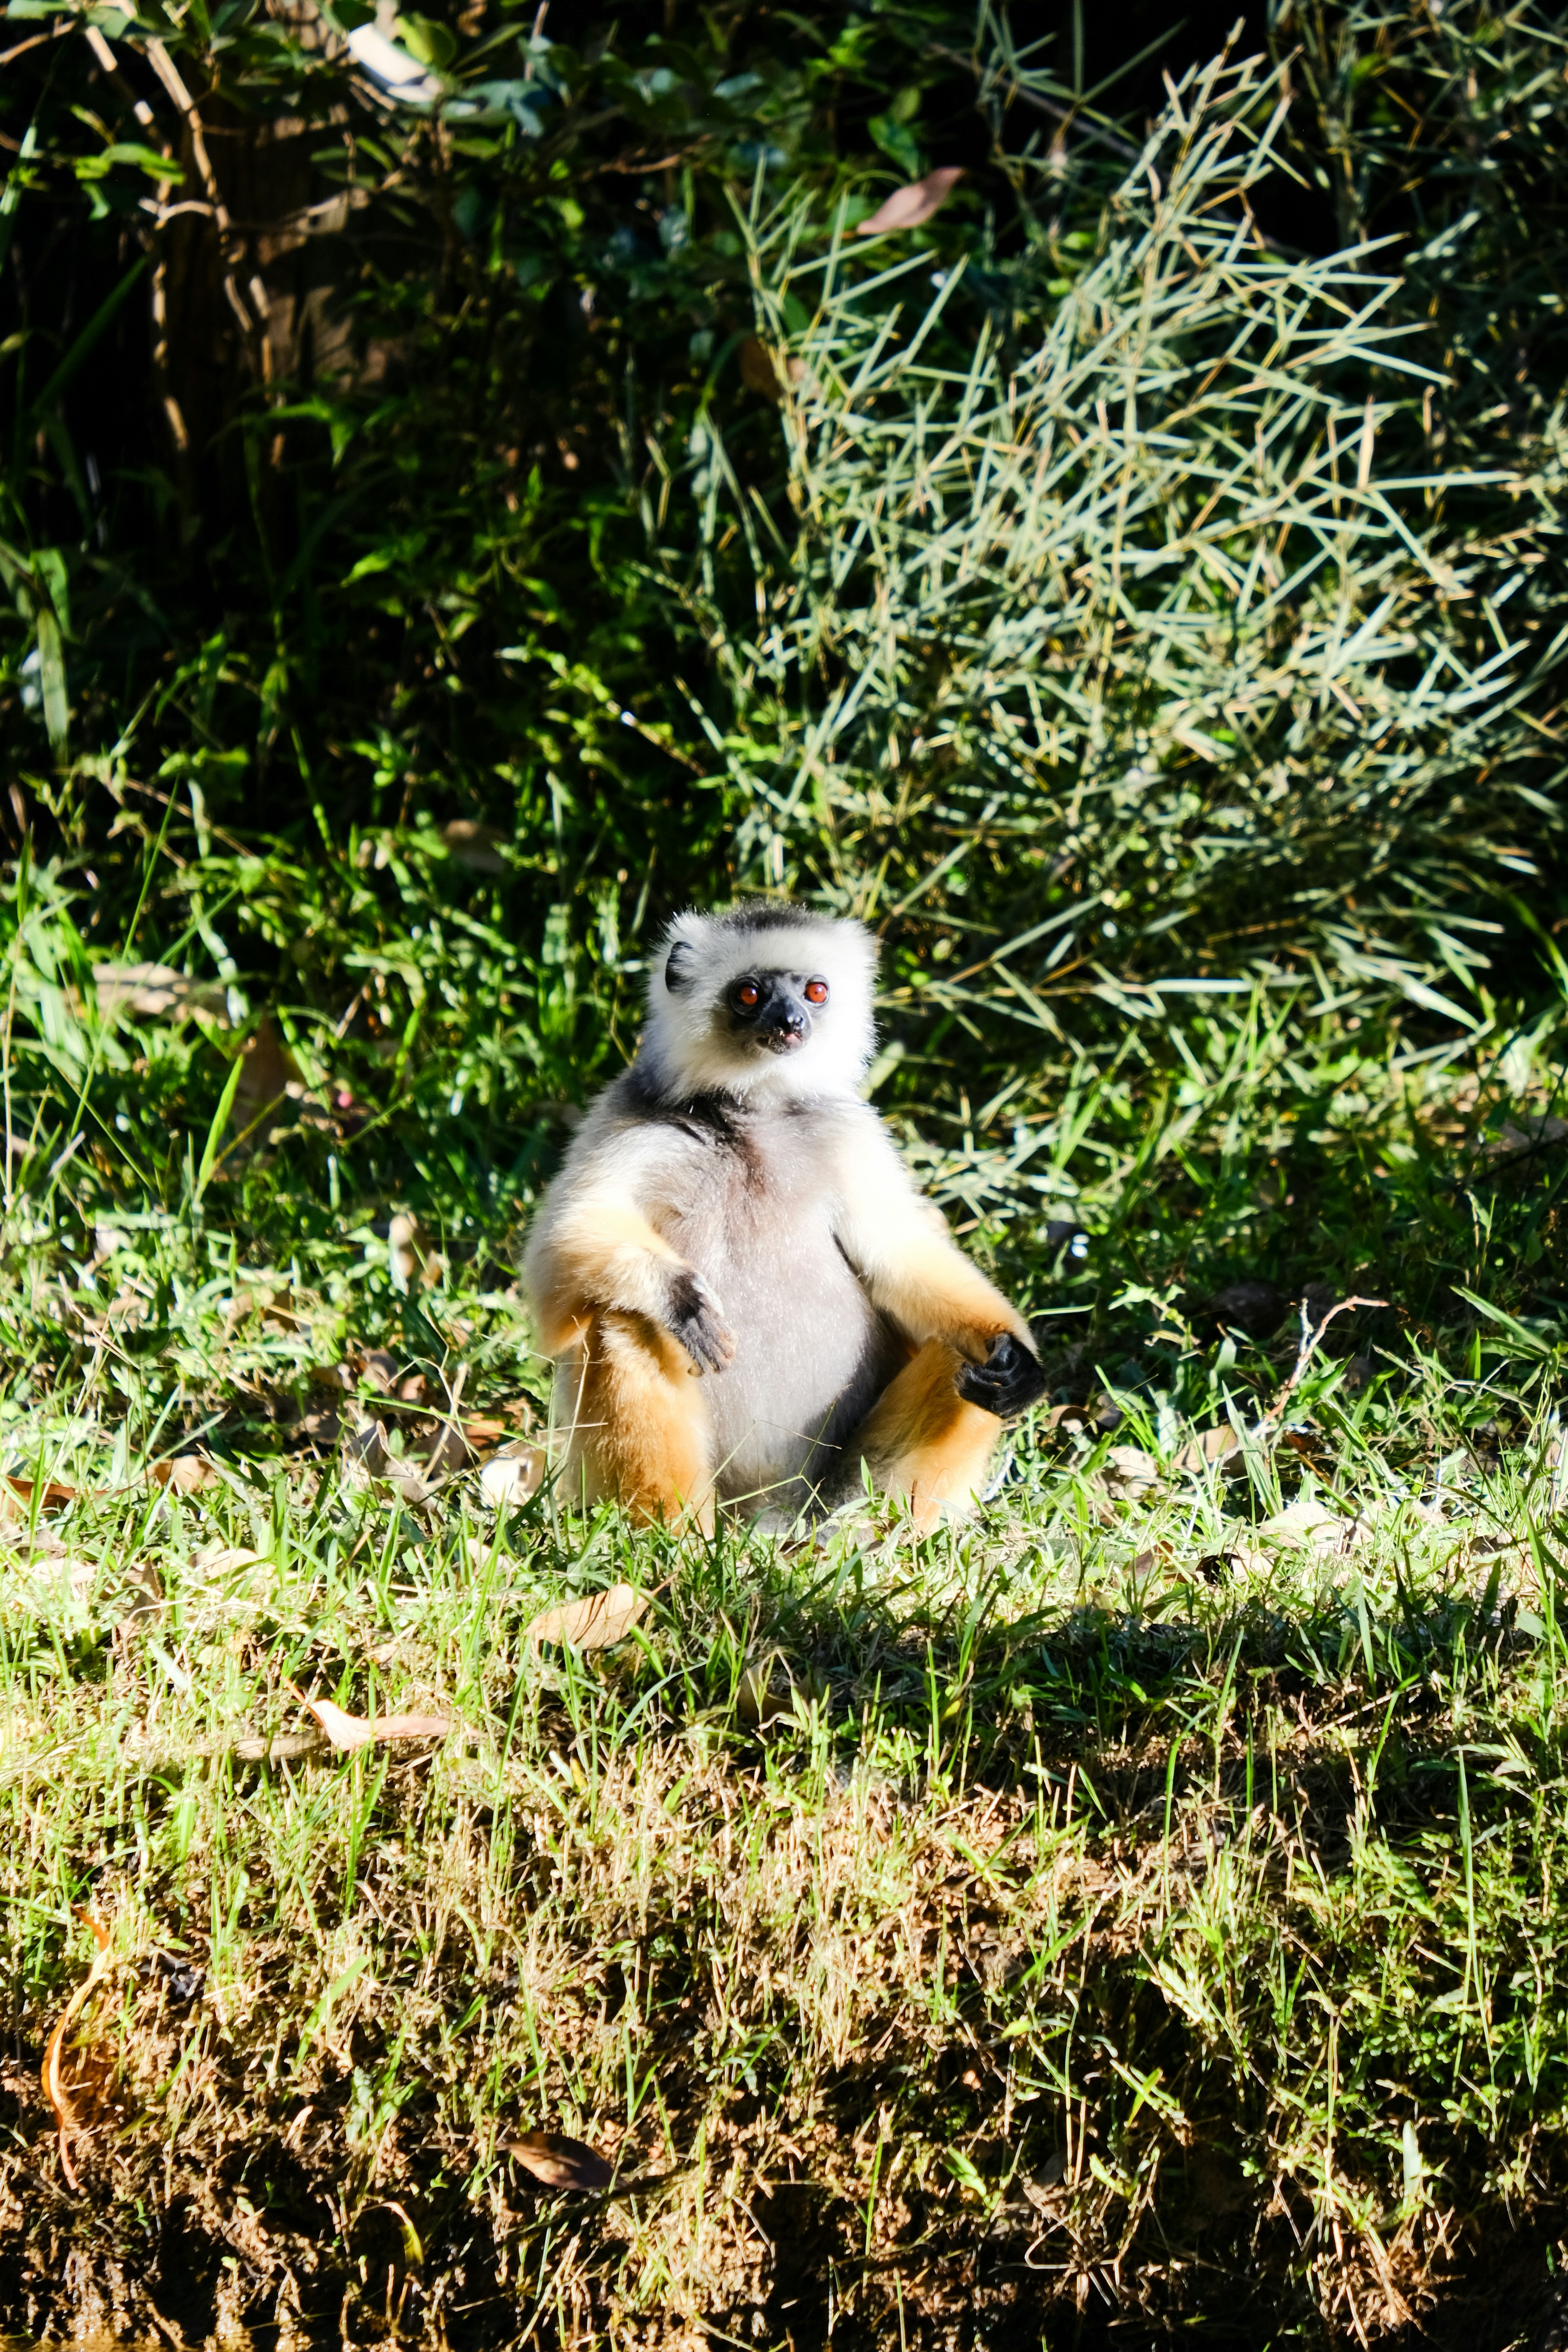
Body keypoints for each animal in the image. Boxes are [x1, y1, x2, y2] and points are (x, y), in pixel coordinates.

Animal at [522, 903, 1047, 1534]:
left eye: (815, 992)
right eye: (750, 994)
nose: (793, 1021)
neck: (753, 1110)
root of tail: (768, 1516)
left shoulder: (845, 1134)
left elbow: (896, 1254)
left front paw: (1019, 1365)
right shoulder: (640, 1122)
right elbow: (559, 1253)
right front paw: (679, 1297)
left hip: (840, 1485)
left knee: (966, 1358)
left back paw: (874, 1537)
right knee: (625, 1317)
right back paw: (675, 1540)